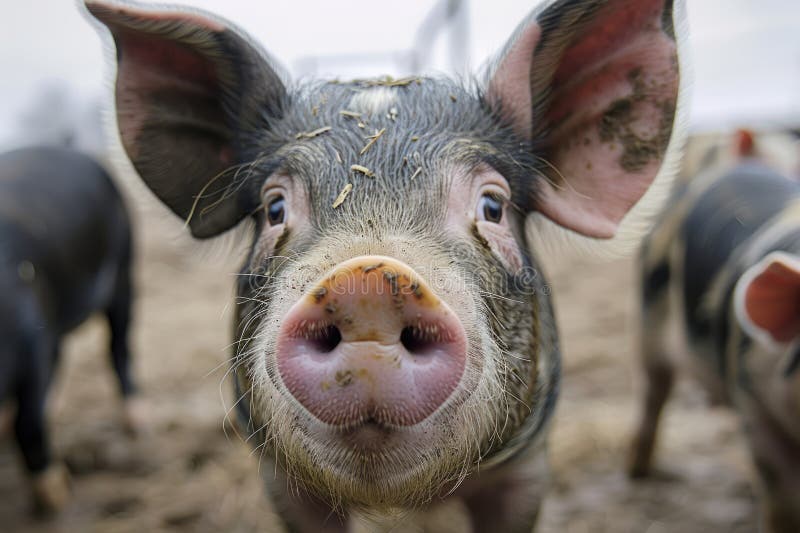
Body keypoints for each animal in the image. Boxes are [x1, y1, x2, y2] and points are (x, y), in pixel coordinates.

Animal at [0, 146, 138, 514]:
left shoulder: (31, 343)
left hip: (124, 268)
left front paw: (55, 498)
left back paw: (136, 421)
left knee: (119, 346)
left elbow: (28, 423)